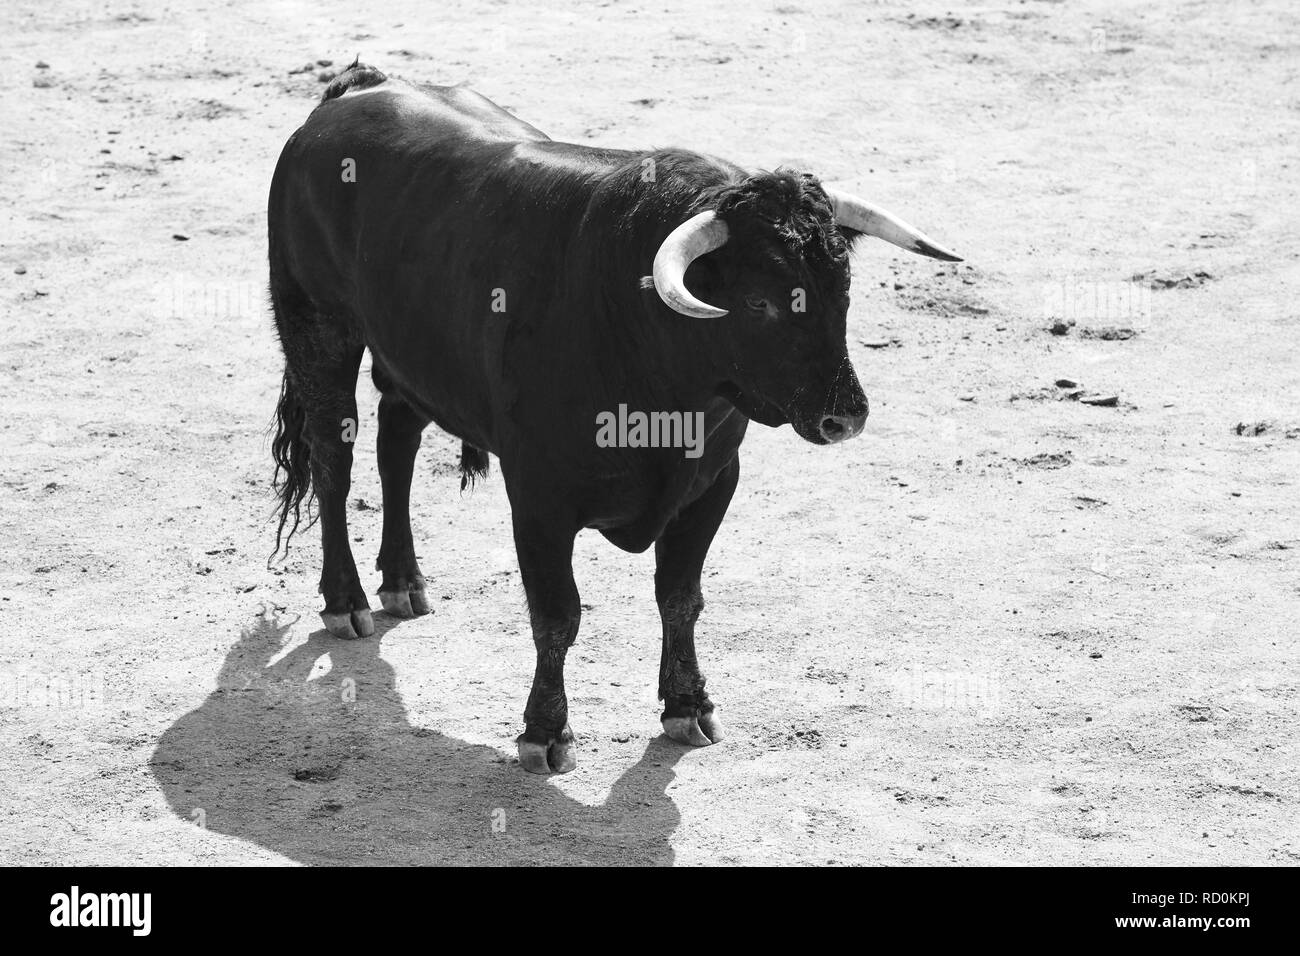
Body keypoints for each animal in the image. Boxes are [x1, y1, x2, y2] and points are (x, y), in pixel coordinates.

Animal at [267, 62, 961, 774]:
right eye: (760, 302)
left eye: (841, 289)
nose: (844, 418)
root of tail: (356, 91)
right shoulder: (538, 498)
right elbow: (557, 614)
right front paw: (545, 732)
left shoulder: (712, 483)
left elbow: (680, 598)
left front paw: (688, 705)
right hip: (318, 327)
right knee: (334, 459)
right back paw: (347, 601)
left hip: (411, 352)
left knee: (398, 441)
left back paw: (404, 581)